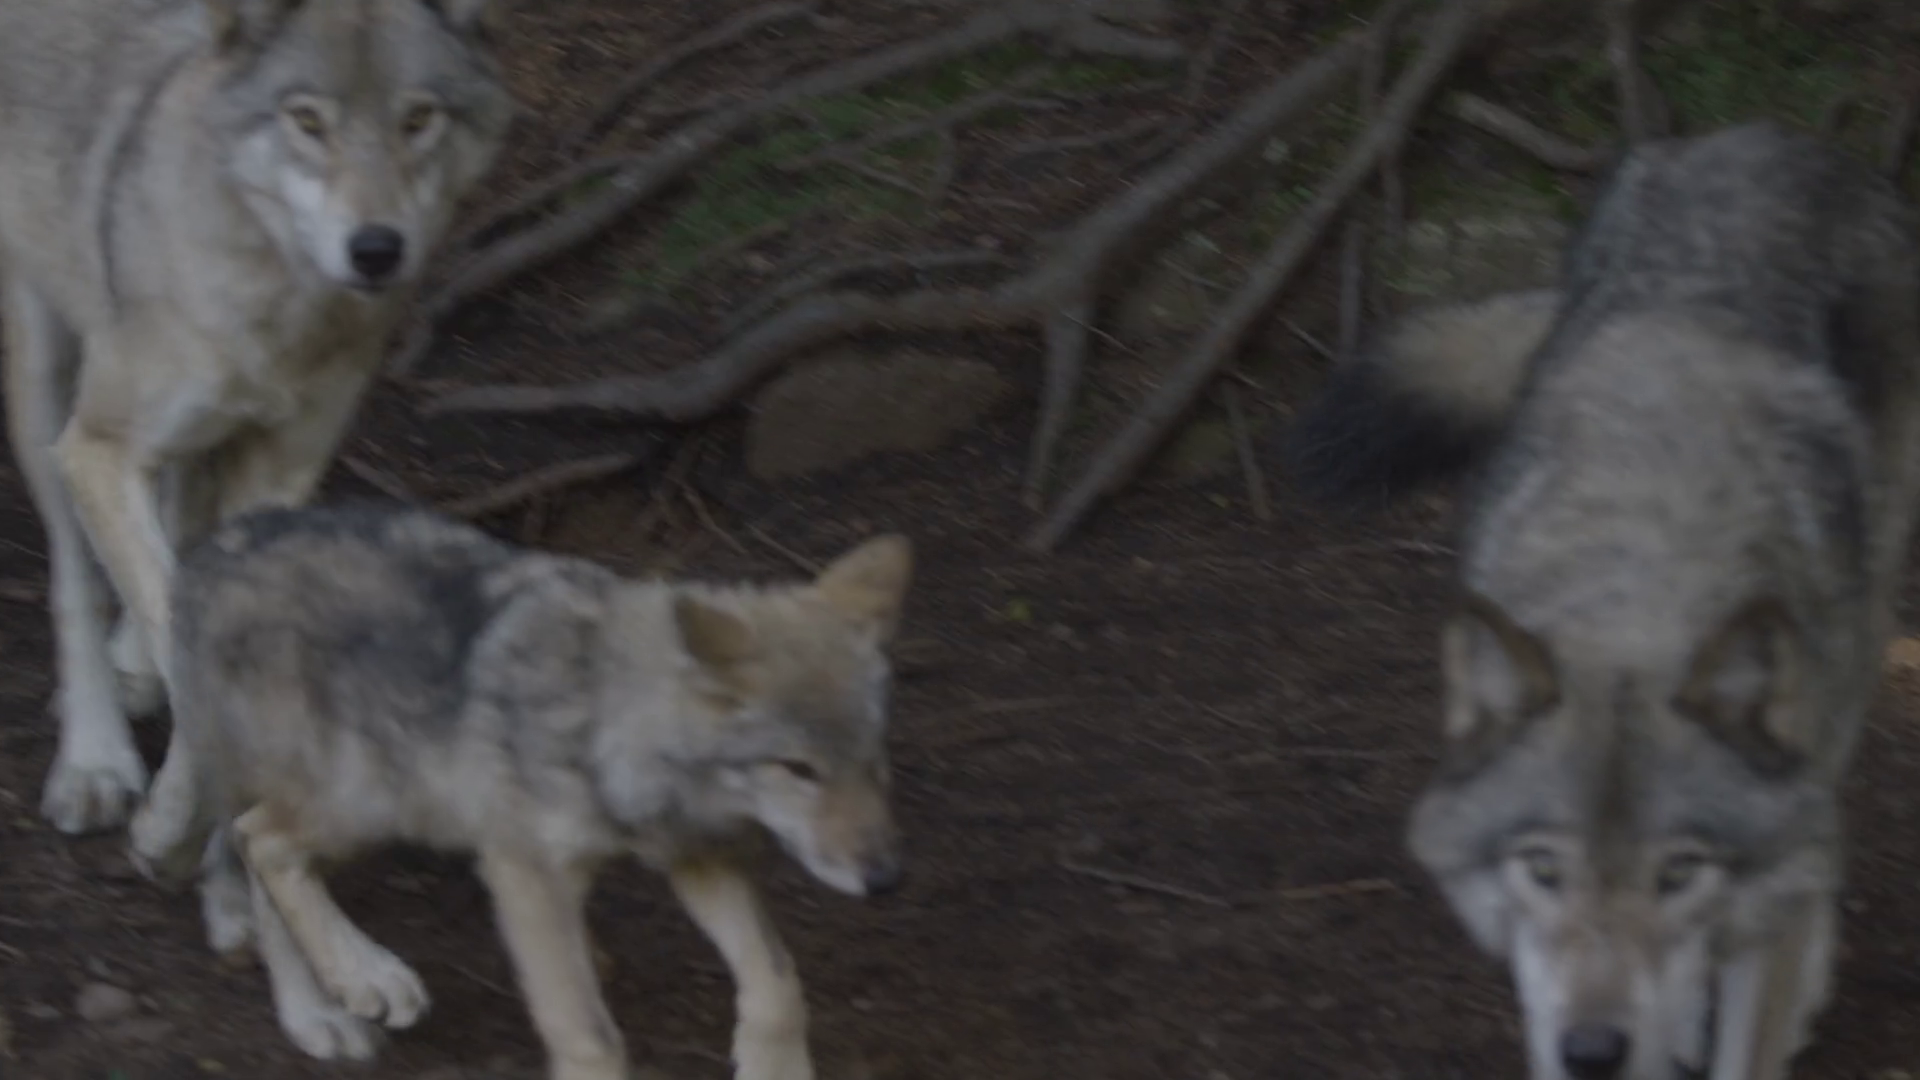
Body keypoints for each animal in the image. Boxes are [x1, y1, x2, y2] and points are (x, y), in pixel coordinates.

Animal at [0, 0, 514, 835]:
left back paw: (132, 665)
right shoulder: (100, 449)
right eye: (307, 120)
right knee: (78, 571)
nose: (376, 248)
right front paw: (171, 808)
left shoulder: (278, 469)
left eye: (417, 120)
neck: (279, 309)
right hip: (46, 382)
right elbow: (165, 609)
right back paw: (93, 759)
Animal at [129, 502, 912, 1080]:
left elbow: (779, 979)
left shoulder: (698, 854)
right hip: (373, 800)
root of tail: (210, 554)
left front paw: (774, 1065)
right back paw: (357, 985)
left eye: (872, 760)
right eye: (799, 769)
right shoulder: (524, 871)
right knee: (261, 842)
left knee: (257, 857)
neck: (605, 717)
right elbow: (588, 1033)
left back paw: (328, 1009)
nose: (885, 880)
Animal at [1286, 122, 1920, 1080]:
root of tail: (1758, 135)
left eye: (1678, 872)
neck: (1636, 594)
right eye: (1546, 871)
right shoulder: (1541, 984)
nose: (1594, 1048)